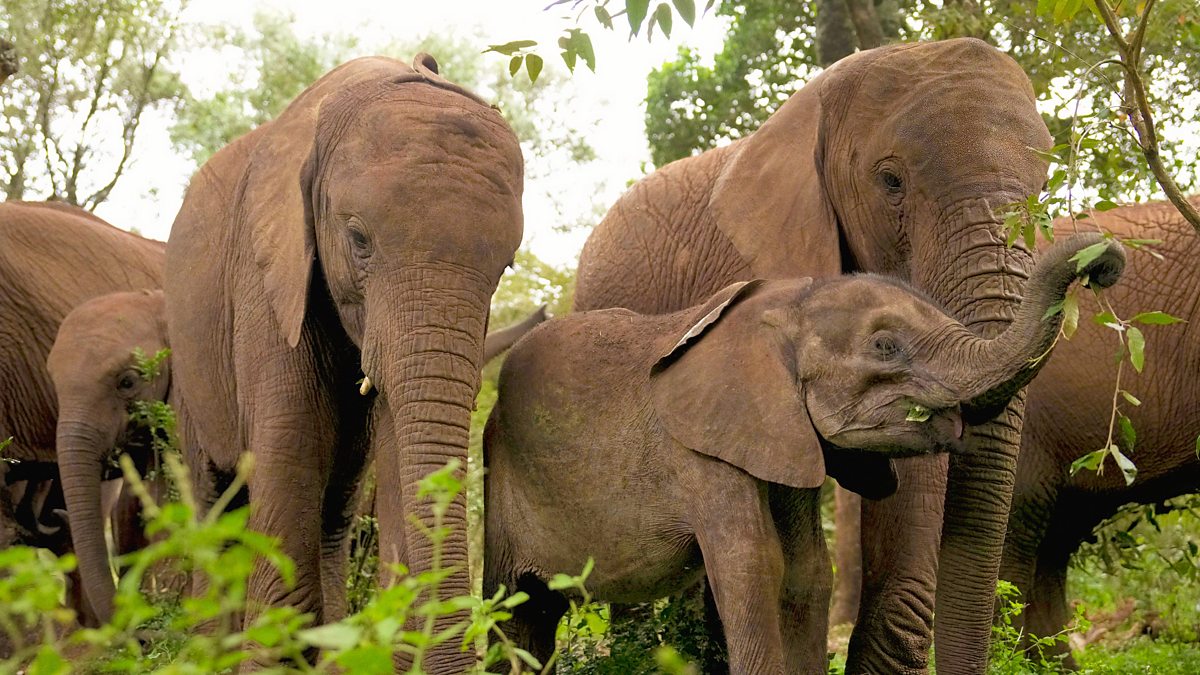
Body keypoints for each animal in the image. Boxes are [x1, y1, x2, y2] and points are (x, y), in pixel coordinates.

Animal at [164, 54, 524, 670]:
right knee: (214, 503)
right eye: (358, 240)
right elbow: (290, 444)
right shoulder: (267, 275)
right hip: (188, 360)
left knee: (333, 509)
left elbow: (399, 441)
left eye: (506, 266)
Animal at [487, 234, 1124, 674]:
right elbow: (751, 565)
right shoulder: (701, 451)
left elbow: (807, 573)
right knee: (510, 610)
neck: (781, 307)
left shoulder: (787, 441)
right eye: (885, 346)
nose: (1104, 266)